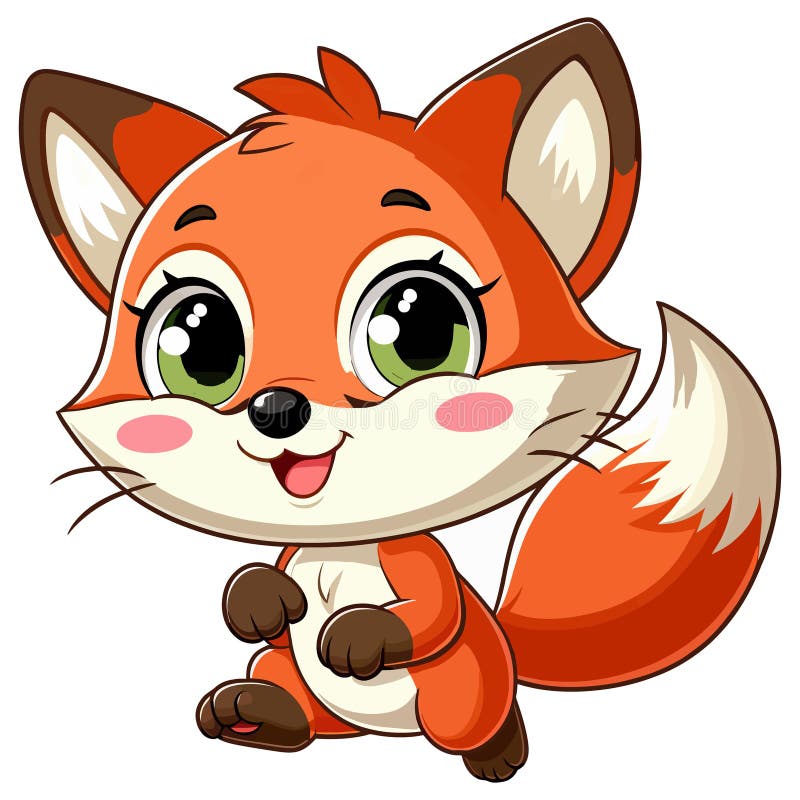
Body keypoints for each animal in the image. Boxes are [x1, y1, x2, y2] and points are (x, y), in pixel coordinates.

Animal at [20, 18, 779, 782]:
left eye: (419, 328)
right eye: (197, 339)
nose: (276, 408)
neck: (346, 547)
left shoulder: (420, 564)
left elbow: (429, 614)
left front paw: (358, 637)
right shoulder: (293, 555)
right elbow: (261, 580)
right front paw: (261, 599)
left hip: (460, 691)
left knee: (471, 718)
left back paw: (499, 755)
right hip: (294, 682)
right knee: (294, 698)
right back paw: (262, 713)